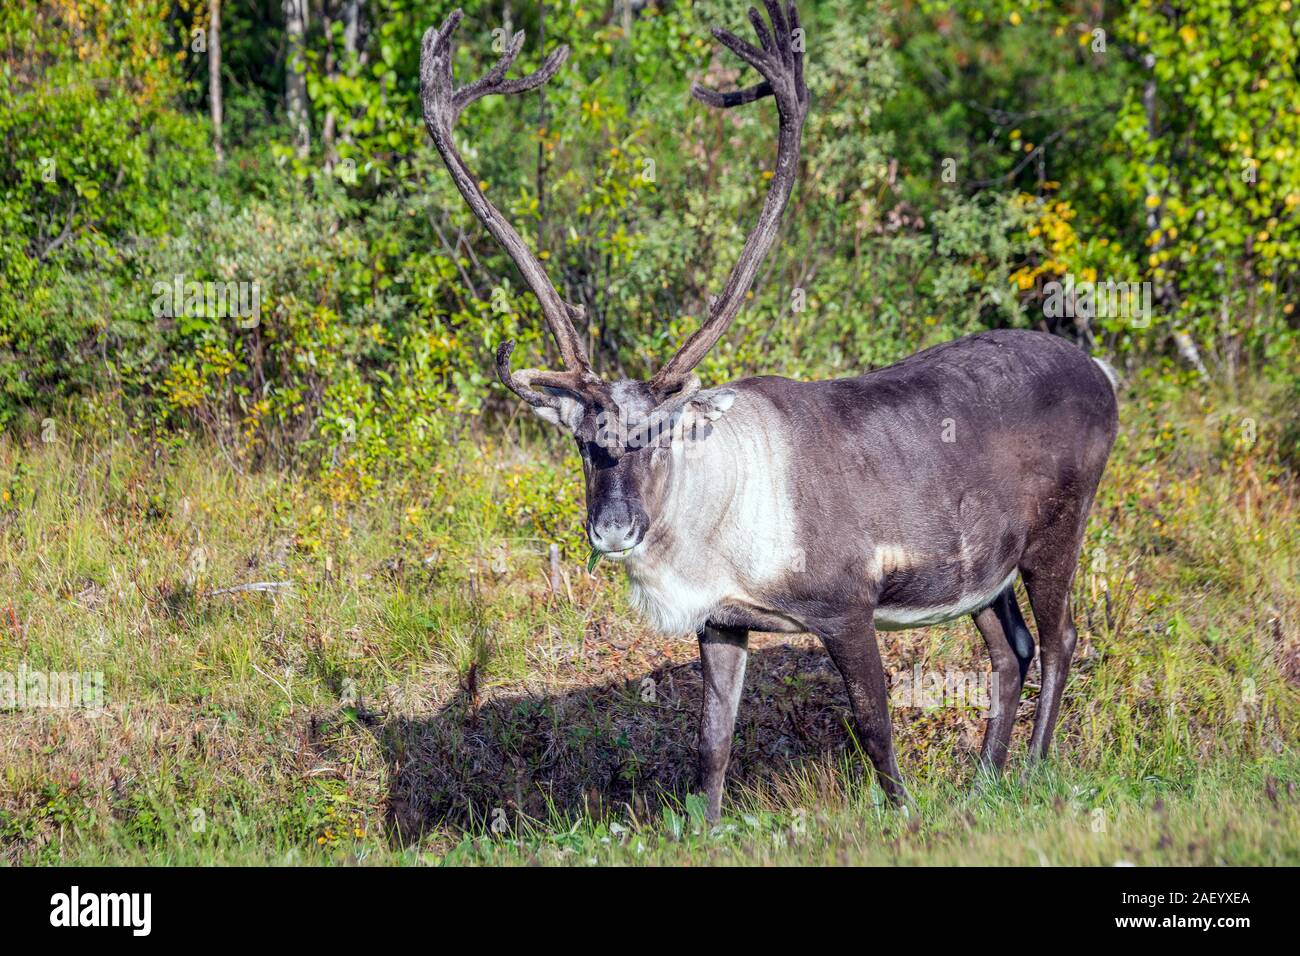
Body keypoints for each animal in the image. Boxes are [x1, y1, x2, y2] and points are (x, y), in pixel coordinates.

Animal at [419, 2, 1118, 823]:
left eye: (658, 436)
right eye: (584, 442)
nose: (613, 528)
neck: (713, 530)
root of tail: (1102, 374)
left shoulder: (846, 606)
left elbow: (873, 725)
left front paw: (904, 814)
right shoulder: (723, 622)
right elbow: (712, 741)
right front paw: (706, 825)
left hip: (1057, 533)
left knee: (1063, 639)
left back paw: (1034, 769)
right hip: (985, 569)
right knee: (1011, 650)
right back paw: (986, 778)